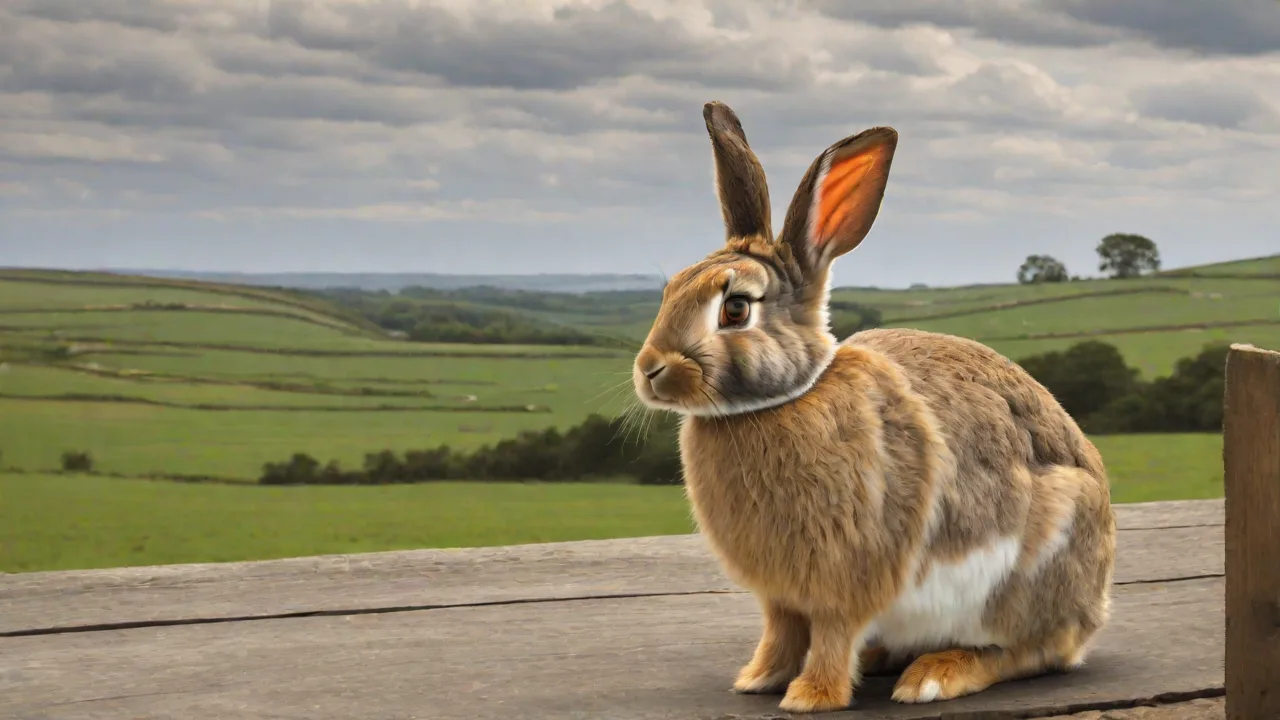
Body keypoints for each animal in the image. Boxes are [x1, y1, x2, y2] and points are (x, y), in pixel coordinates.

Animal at [630, 101, 1116, 713]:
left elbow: (833, 635)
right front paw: (759, 678)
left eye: (736, 309)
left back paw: (935, 675)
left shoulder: (849, 577)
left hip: (1032, 569)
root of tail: (1095, 606)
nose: (649, 371)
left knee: (1029, 650)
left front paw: (810, 696)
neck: (785, 399)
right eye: (671, 288)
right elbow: (781, 631)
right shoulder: (781, 596)